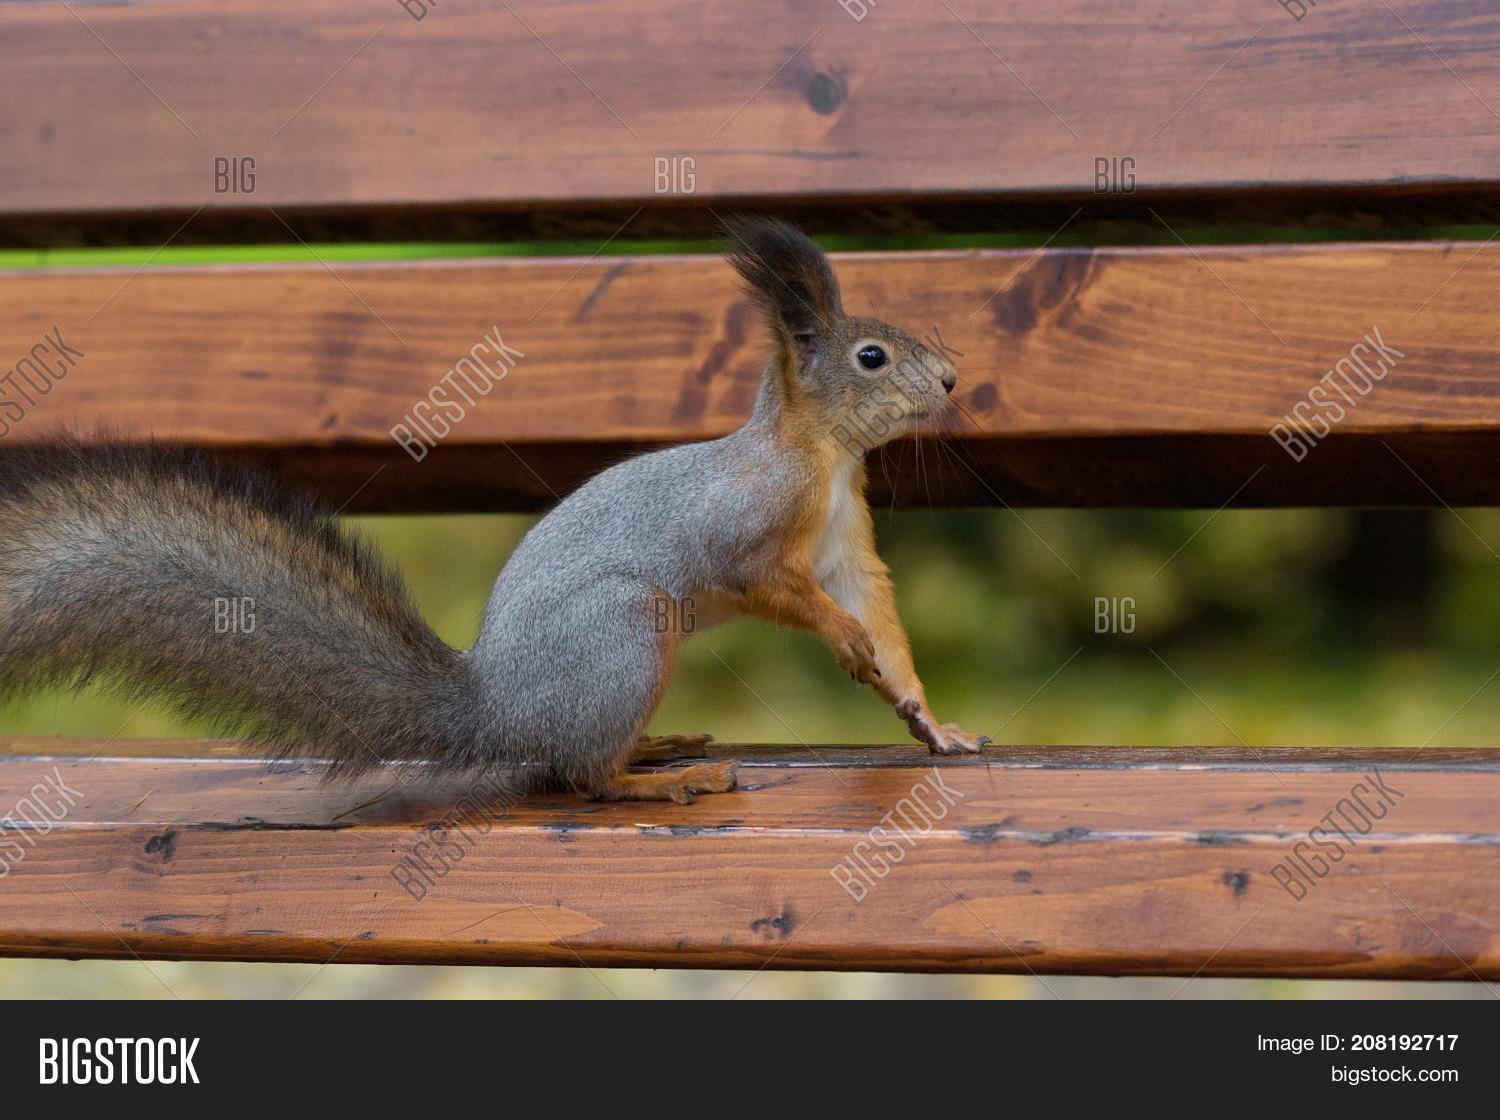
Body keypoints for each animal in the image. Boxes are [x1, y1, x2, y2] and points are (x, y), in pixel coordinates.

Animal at [0, 218, 991, 804]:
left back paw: (657, 750)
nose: (950, 379)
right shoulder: (750, 527)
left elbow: (874, 613)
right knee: (582, 779)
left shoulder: (843, 548)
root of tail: (499, 711)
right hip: (627, 626)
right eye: (870, 356)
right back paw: (658, 780)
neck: (821, 457)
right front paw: (845, 644)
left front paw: (926, 720)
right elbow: (773, 584)